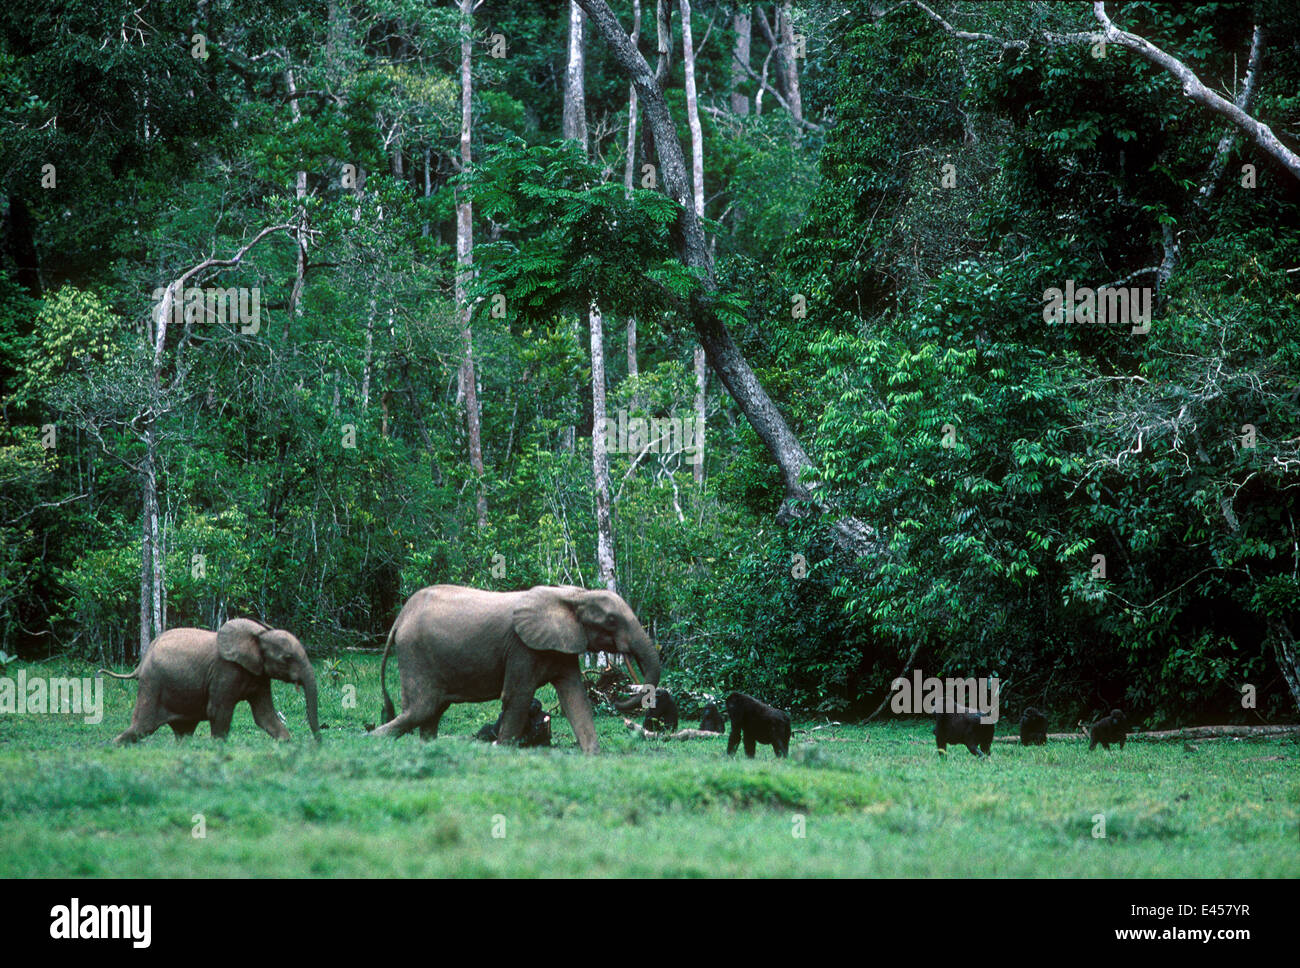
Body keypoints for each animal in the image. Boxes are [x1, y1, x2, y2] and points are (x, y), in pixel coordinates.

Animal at [99, 618, 320, 744]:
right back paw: (114, 746)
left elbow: (264, 716)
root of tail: (140, 664)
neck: (259, 634)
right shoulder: (225, 671)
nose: (319, 743)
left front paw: (286, 744)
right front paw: (219, 749)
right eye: (287, 658)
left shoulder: (260, 675)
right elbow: (218, 711)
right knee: (143, 727)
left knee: (183, 731)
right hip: (152, 683)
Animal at [371, 584, 661, 754]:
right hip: (415, 653)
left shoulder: (561, 643)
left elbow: (575, 698)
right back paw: (371, 740)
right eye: (611, 620)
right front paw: (502, 751)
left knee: (431, 712)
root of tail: (400, 618)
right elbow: (517, 697)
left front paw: (593, 756)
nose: (619, 694)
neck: (574, 596)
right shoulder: (522, 648)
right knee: (421, 709)